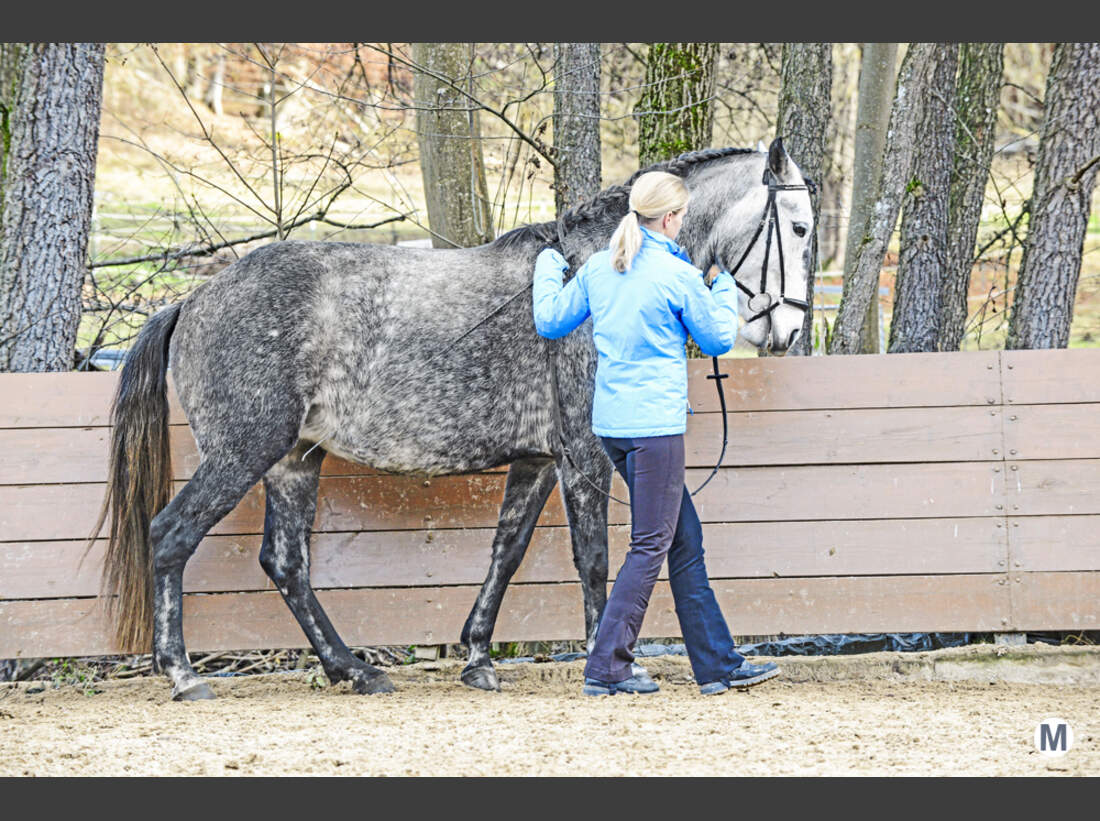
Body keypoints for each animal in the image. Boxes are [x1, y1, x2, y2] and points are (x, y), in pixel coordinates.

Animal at [91, 138, 815, 700]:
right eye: (802, 230)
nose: (788, 330)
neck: (598, 270)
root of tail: (193, 298)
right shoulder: (583, 456)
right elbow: (593, 558)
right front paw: (604, 662)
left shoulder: (537, 460)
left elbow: (506, 551)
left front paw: (477, 658)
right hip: (243, 452)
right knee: (172, 535)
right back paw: (184, 674)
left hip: (294, 461)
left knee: (286, 563)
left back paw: (352, 669)